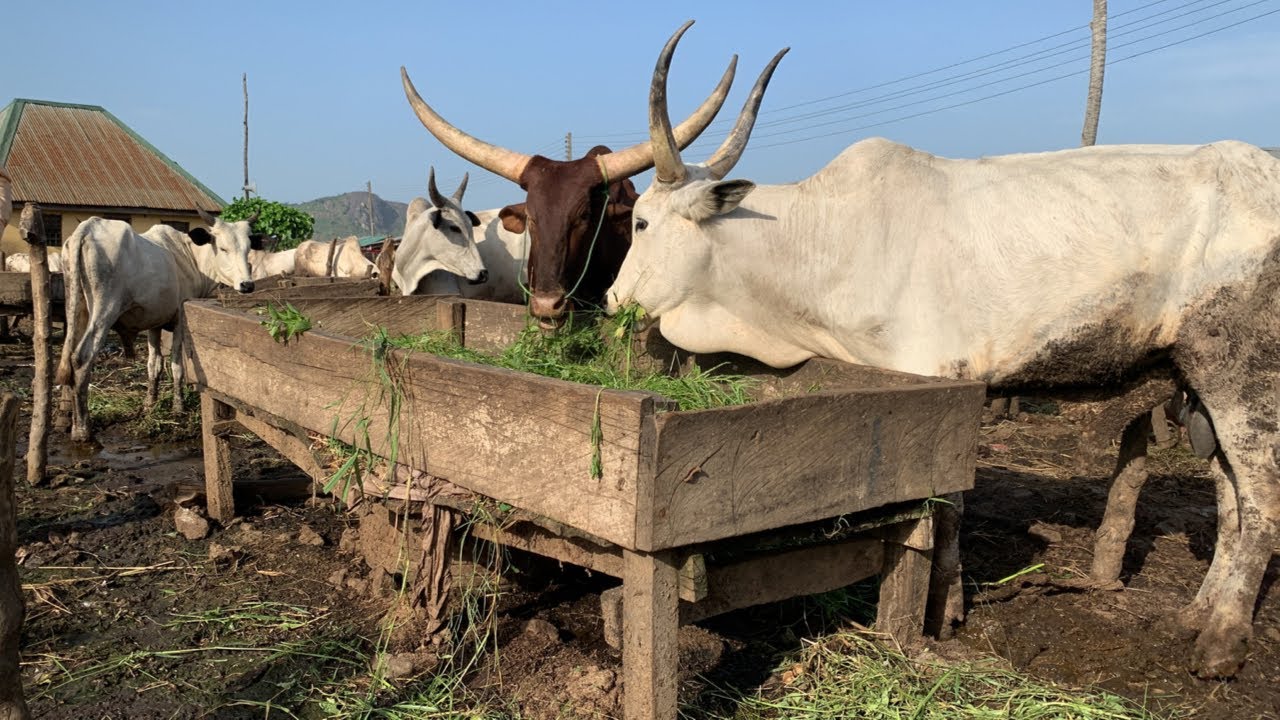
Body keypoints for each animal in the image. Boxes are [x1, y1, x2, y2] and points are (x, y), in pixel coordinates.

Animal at [56, 209, 263, 442]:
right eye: (224, 248)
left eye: (248, 249)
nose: (247, 284)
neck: (191, 257)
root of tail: (87, 228)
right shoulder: (181, 320)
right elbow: (177, 366)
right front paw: (178, 408)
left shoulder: (154, 322)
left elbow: (154, 365)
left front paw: (149, 405)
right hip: (104, 309)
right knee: (81, 358)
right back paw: (82, 429)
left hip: (76, 307)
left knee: (69, 356)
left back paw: (65, 417)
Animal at [605, 30, 1280, 679]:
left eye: (640, 223)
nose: (612, 299)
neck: (822, 242)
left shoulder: (940, 384)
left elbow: (946, 509)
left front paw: (945, 610)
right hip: (1197, 381)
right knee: (1229, 499)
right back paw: (1196, 615)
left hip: (1241, 373)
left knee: (1261, 496)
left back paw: (1220, 646)